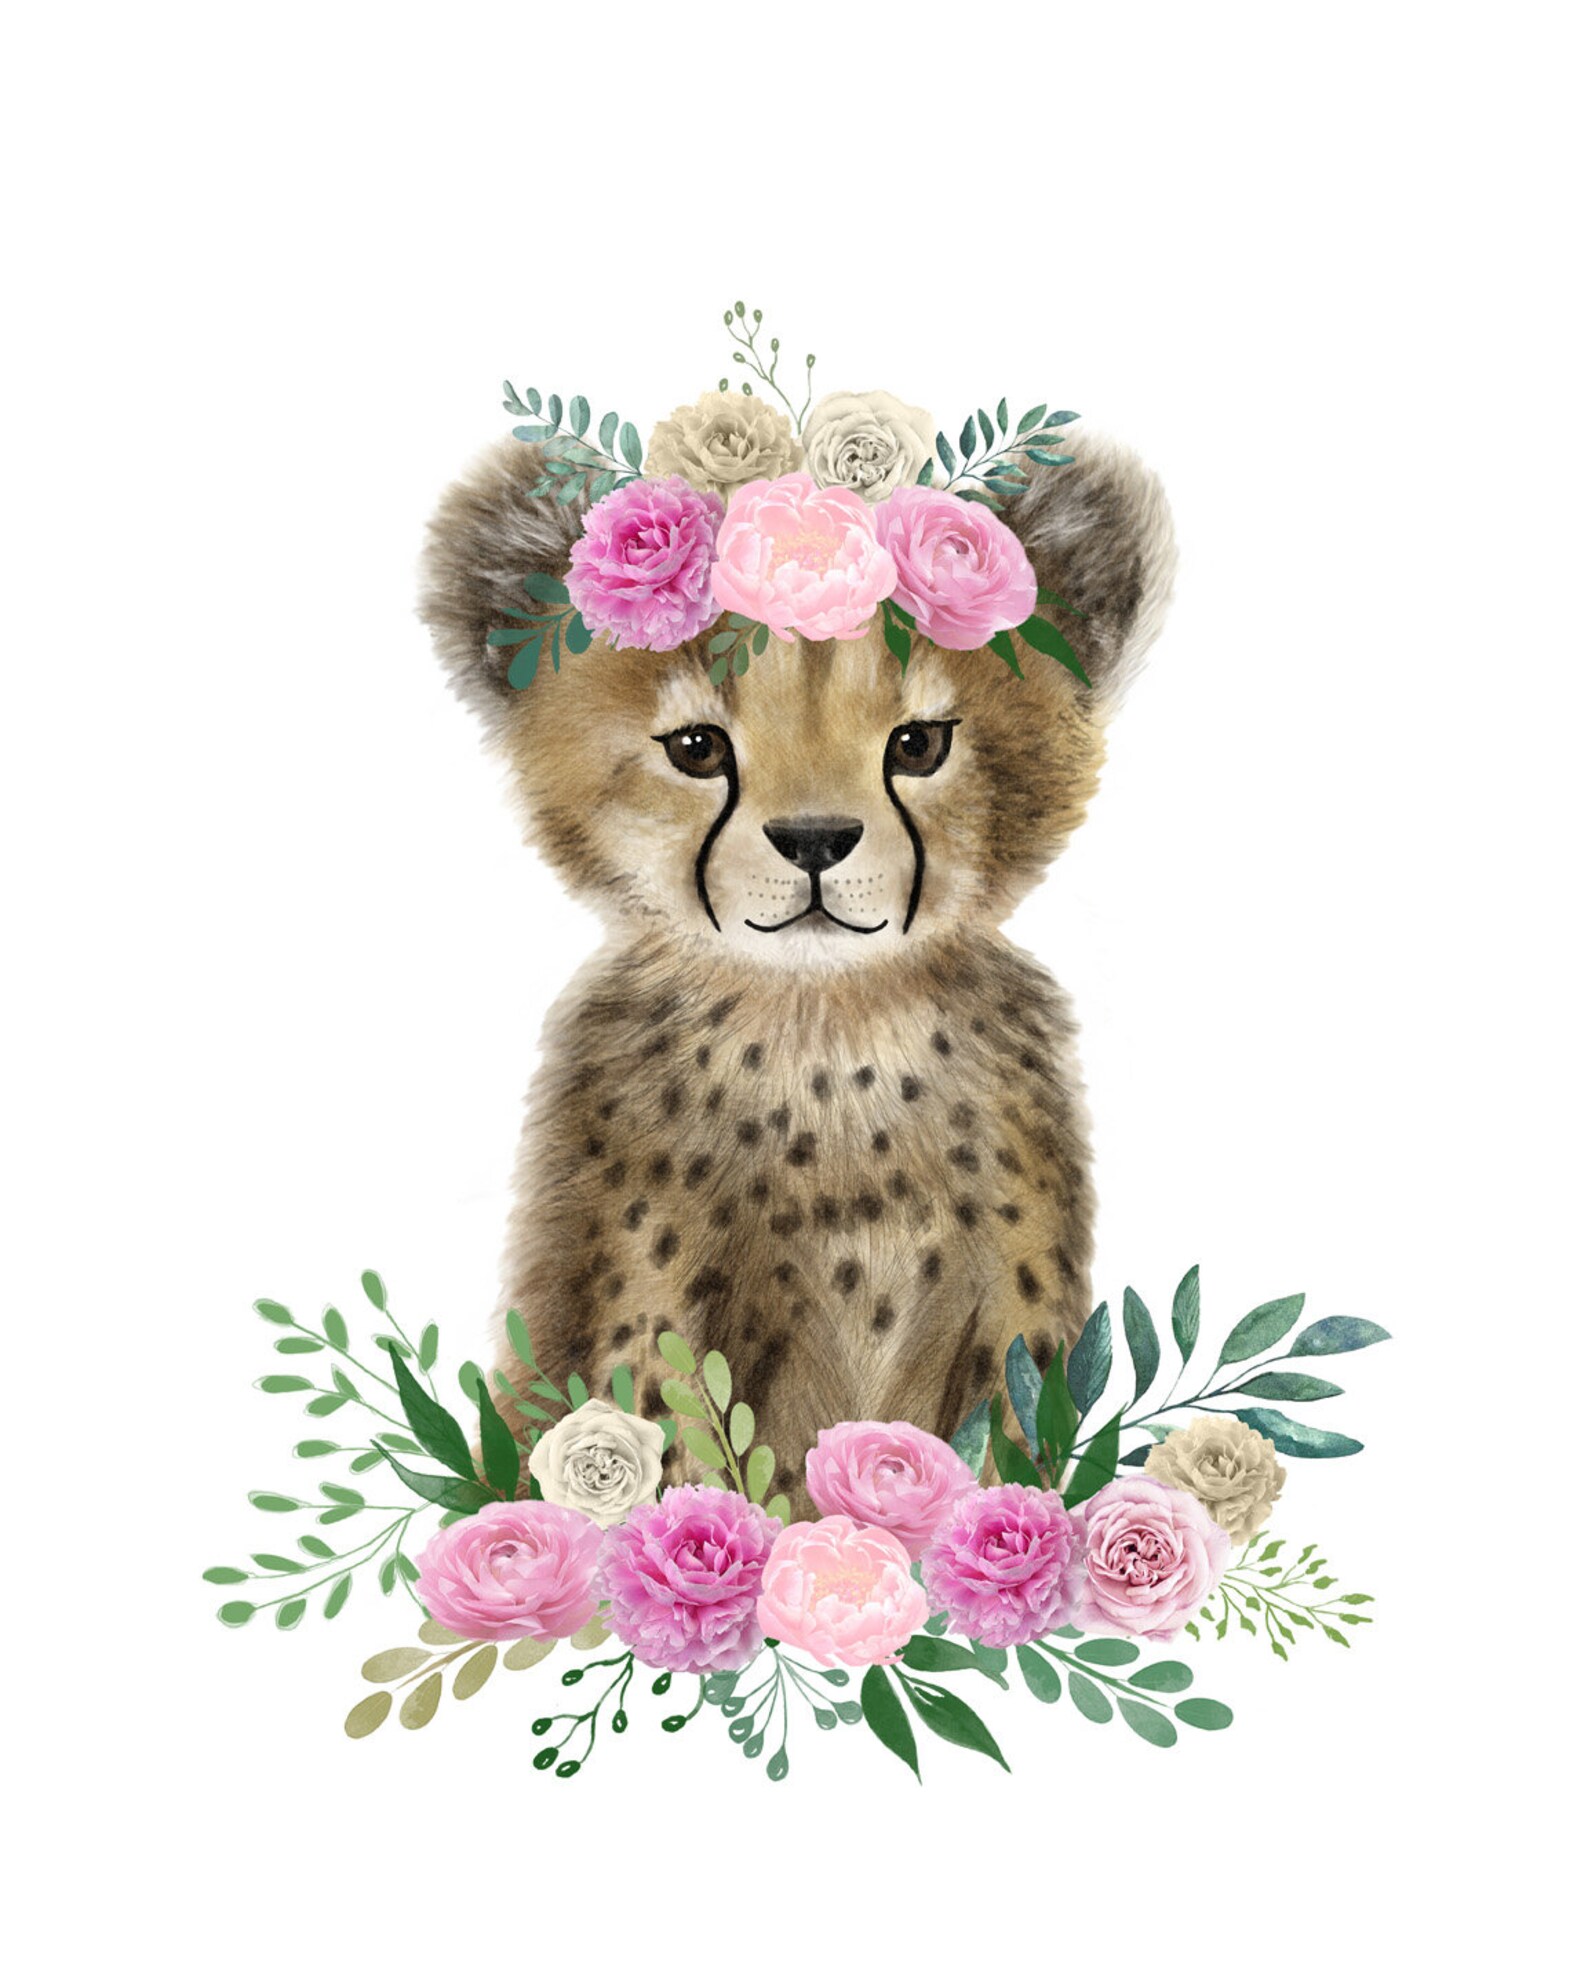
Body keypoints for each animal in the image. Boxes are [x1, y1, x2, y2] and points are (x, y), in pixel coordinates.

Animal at [420, 431, 1174, 1513]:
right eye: (698, 747)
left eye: (918, 743)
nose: (815, 839)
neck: (828, 1032)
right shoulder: (657, 1315)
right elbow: (678, 1455)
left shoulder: (1011, 1319)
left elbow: (1006, 1452)